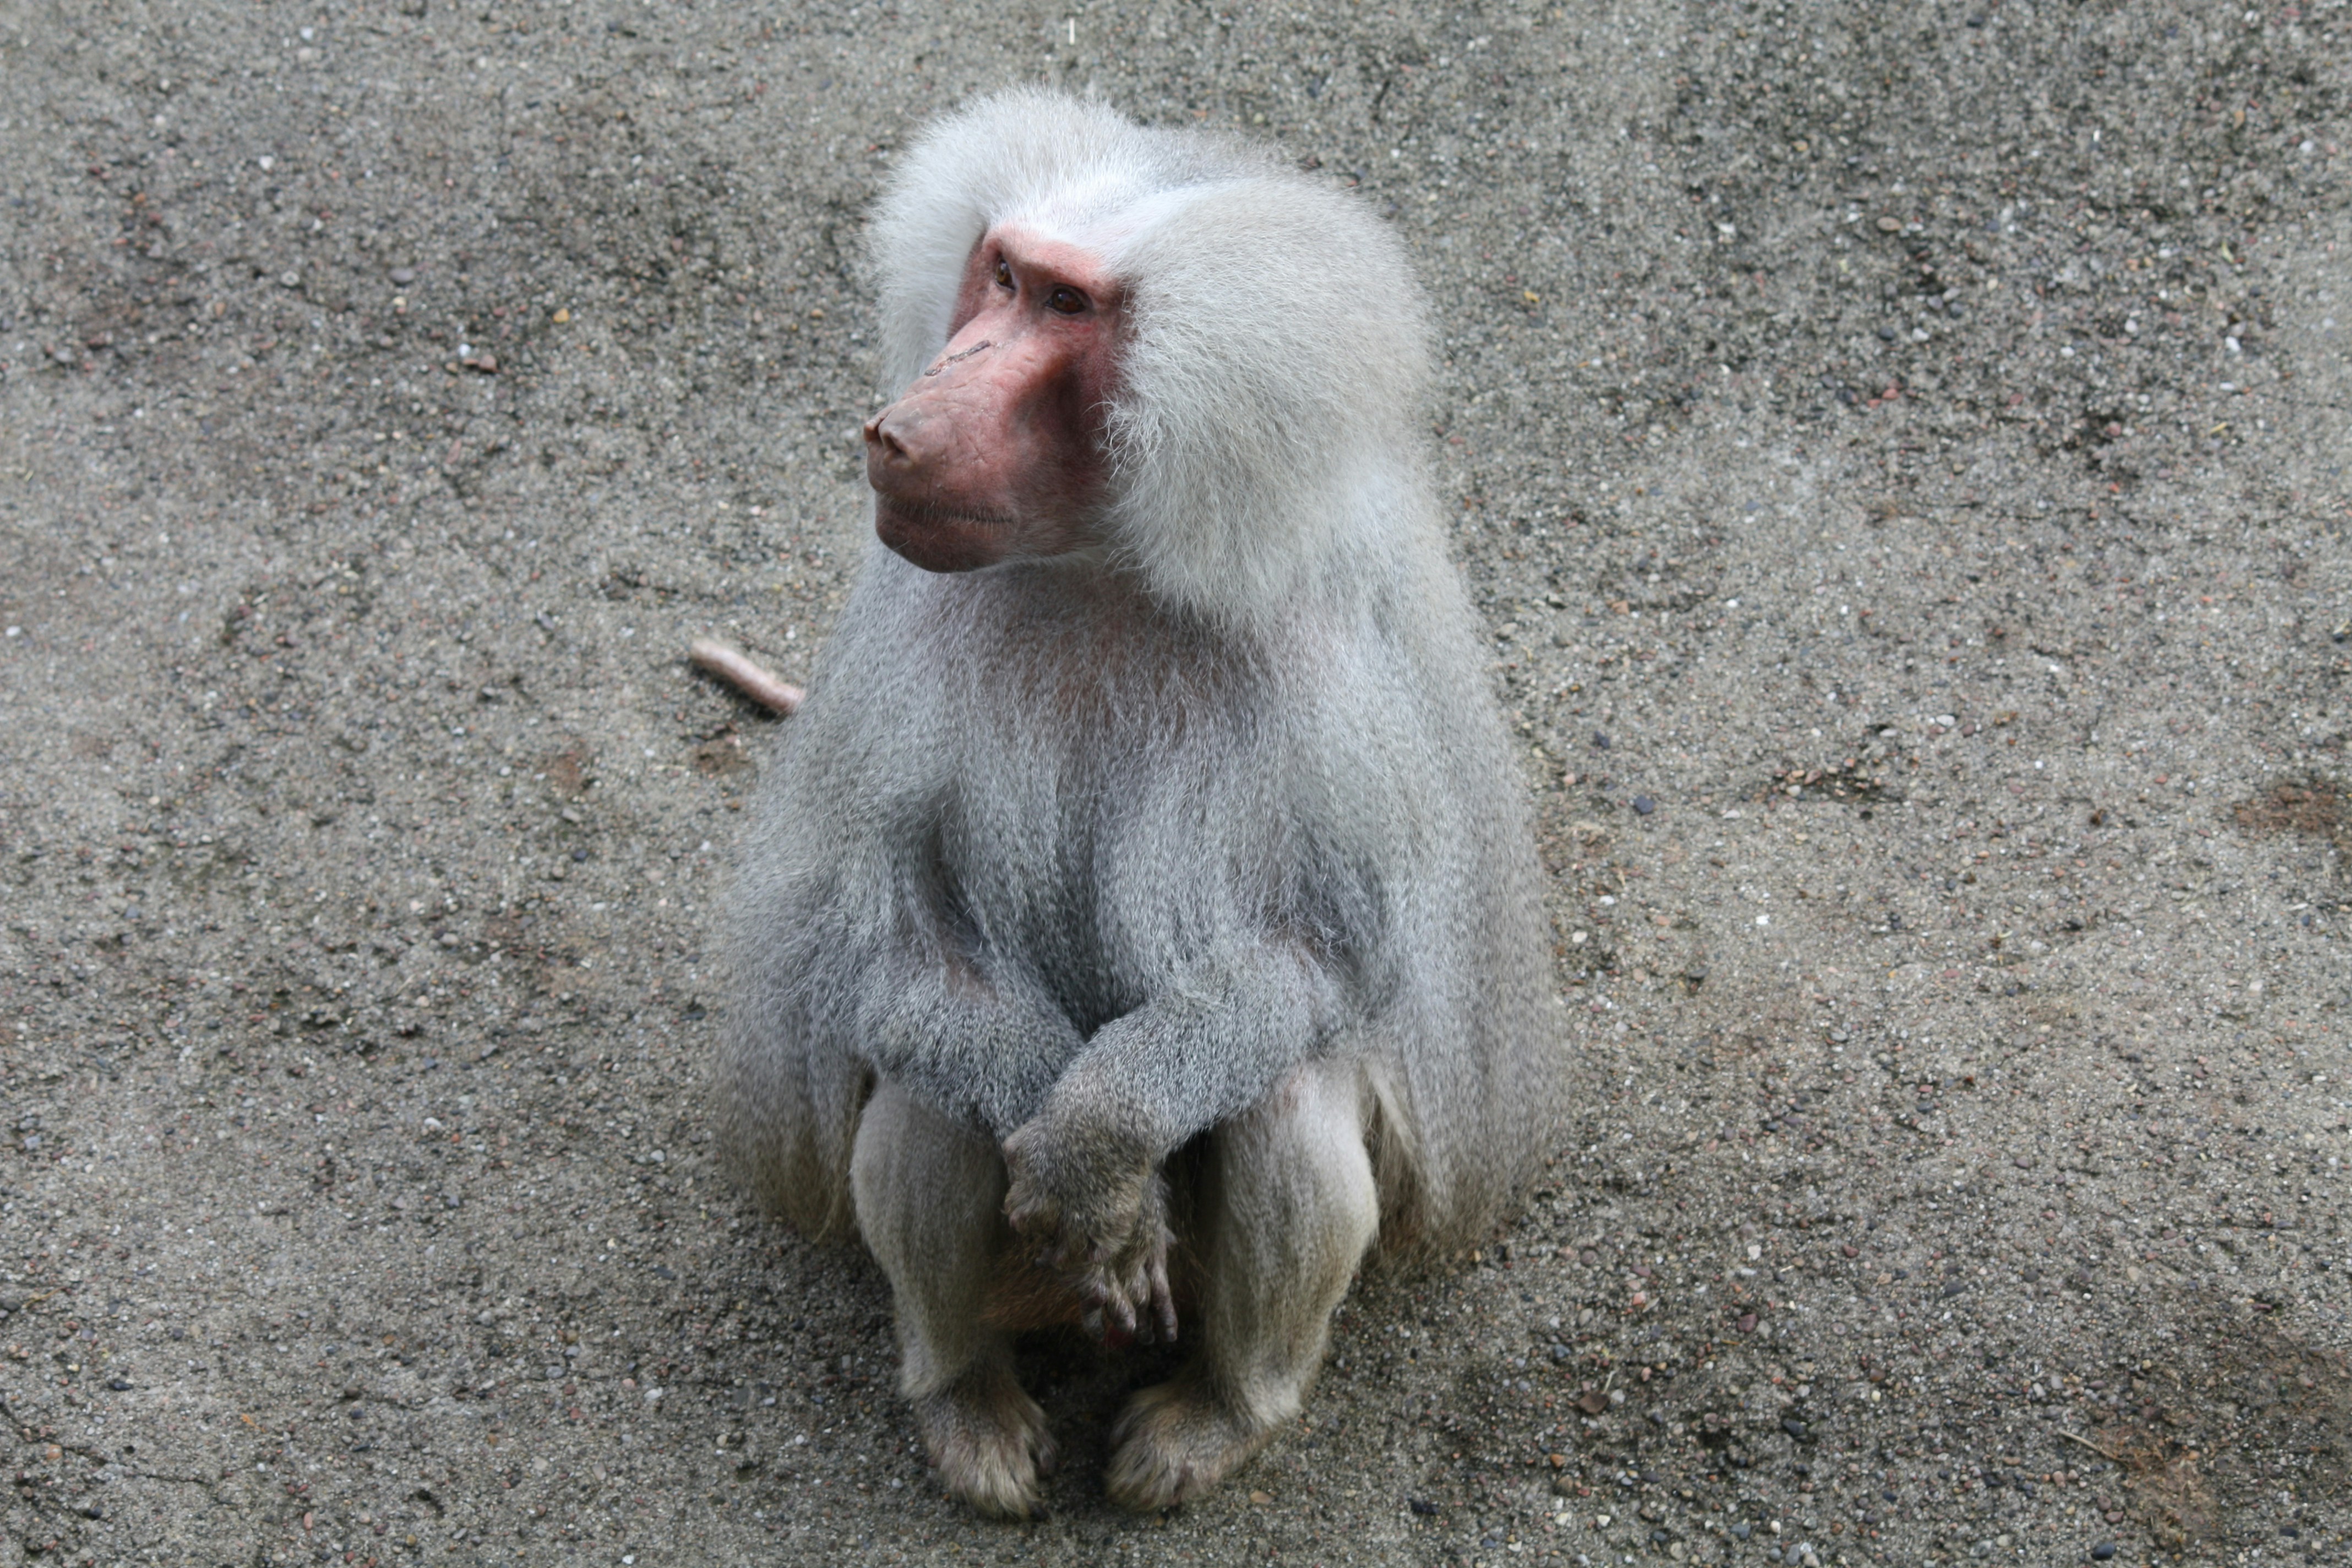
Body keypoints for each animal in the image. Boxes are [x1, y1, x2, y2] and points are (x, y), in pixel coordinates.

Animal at [719, 89, 1563, 1518]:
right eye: (1001, 275)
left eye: (1068, 306)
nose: (903, 425)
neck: (1105, 563)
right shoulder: (900, 623)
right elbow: (868, 940)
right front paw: (1063, 1144)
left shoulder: (1333, 647)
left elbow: (1337, 949)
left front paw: (1099, 1146)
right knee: (928, 1081)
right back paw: (965, 1404)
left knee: (1288, 1096)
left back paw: (1219, 1417)